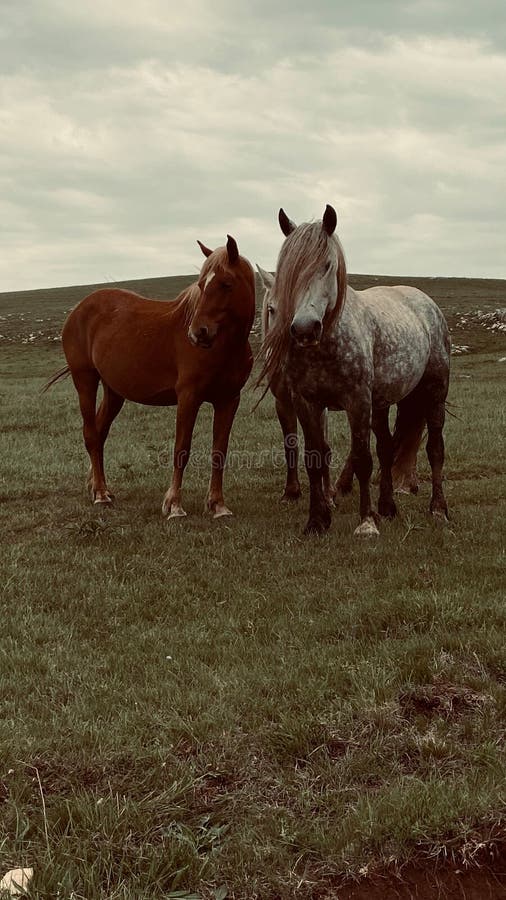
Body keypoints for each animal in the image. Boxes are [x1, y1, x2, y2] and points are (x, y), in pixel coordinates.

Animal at [44, 235, 256, 519]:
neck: (225, 347)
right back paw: (100, 494)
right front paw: (174, 505)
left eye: (226, 284)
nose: (197, 333)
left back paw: (100, 488)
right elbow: (182, 449)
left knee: (99, 434)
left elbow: (219, 451)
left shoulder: (229, 400)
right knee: (90, 434)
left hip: (114, 392)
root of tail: (79, 310)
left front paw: (218, 505)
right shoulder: (188, 397)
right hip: (85, 380)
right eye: (201, 285)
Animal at [258, 205, 450, 536]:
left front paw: (366, 523)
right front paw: (317, 521)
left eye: (327, 265)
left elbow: (362, 459)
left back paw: (437, 509)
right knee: (387, 447)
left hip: (433, 393)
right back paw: (387, 507)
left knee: (434, 448)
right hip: (381, 404)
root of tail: (426, 303)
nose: (305, 328)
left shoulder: (357, 401)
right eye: (288, 270)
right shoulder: (306, 402)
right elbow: (315, 458)